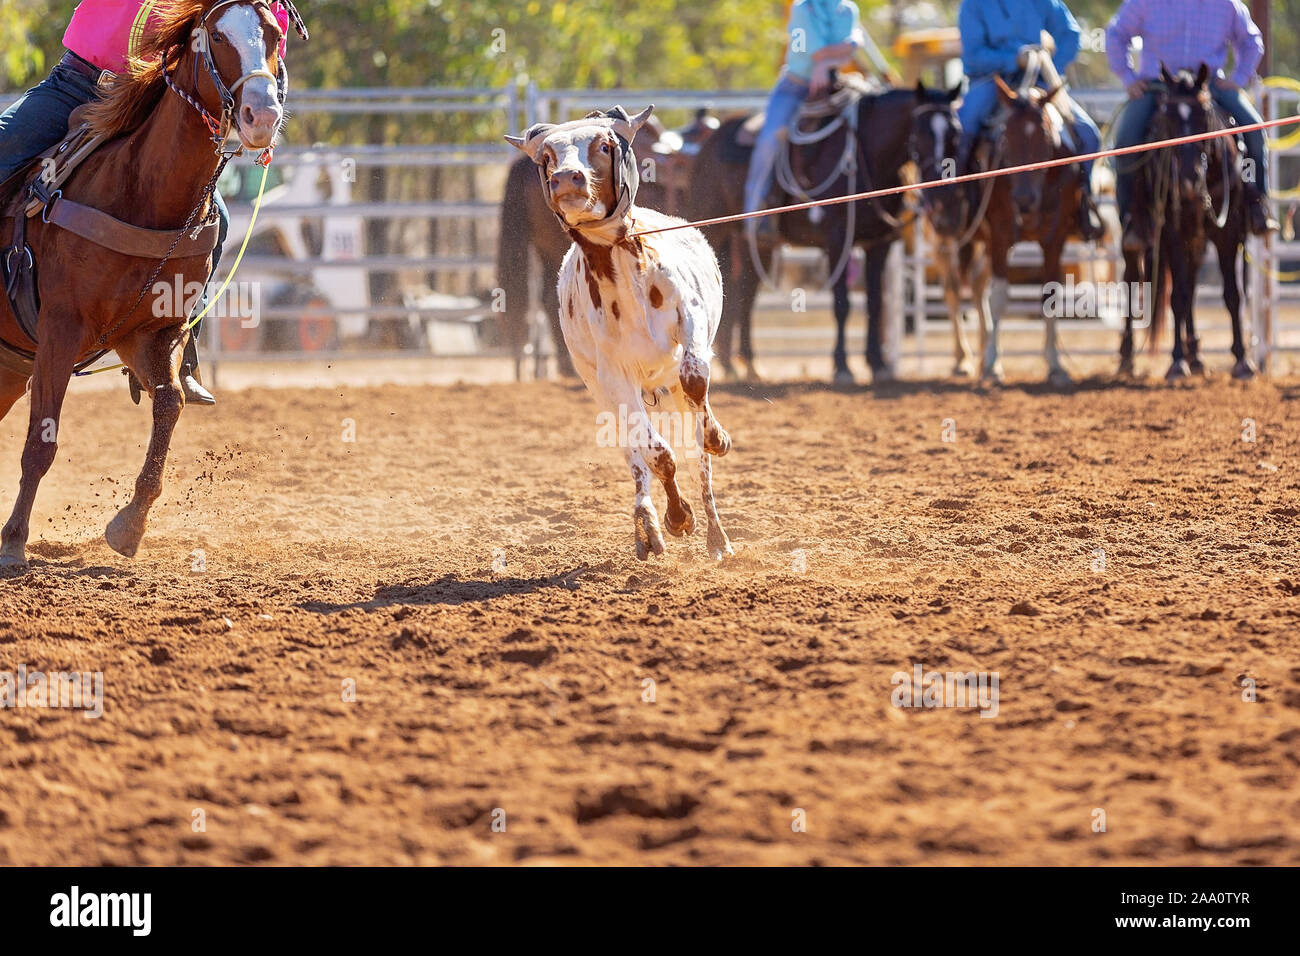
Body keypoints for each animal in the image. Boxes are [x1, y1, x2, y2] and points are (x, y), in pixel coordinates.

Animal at [505, 106, 733, 561]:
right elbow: (657, 454)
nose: (566, 179)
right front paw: (676, 517)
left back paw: (717, 537)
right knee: (636, 453)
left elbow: (696, 379)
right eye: (547, 158)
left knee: (700, 456)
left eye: (604, 145)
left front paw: (717, 436)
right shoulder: (613, 377)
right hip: (606, 392)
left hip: (670, 385)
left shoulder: (692, 321)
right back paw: (648, 525)